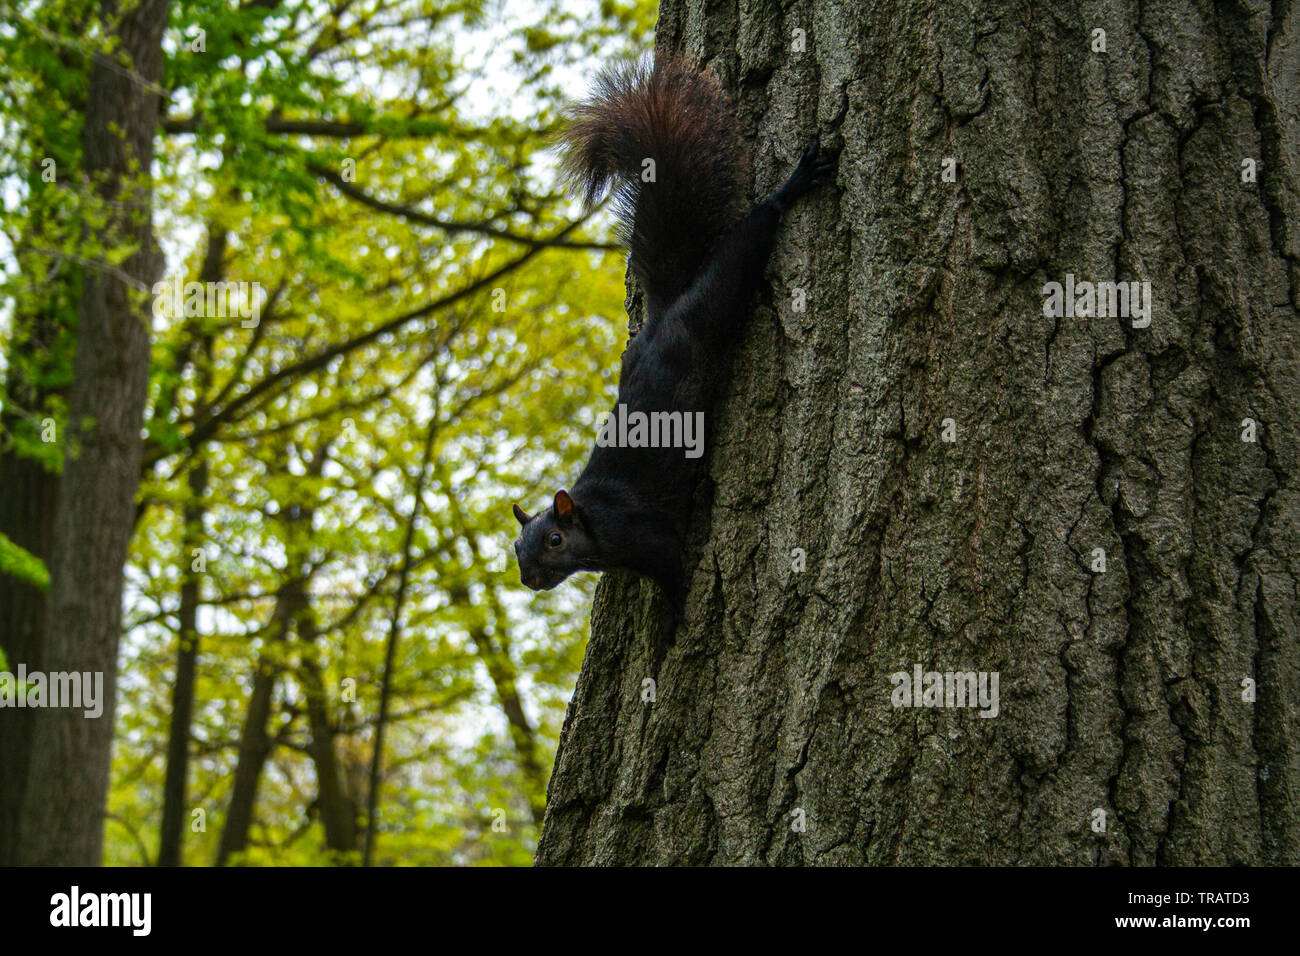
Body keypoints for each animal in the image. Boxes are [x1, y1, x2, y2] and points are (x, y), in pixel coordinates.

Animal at [512, 55, 836, 640]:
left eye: (554, 540)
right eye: (515, 548)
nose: (530, 579)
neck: (592, 519)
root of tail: (662, 317)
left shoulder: (646, 535)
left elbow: (673, 568)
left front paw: (675, 614)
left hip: (712, 306)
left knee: (744, 248)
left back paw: (790, 188)